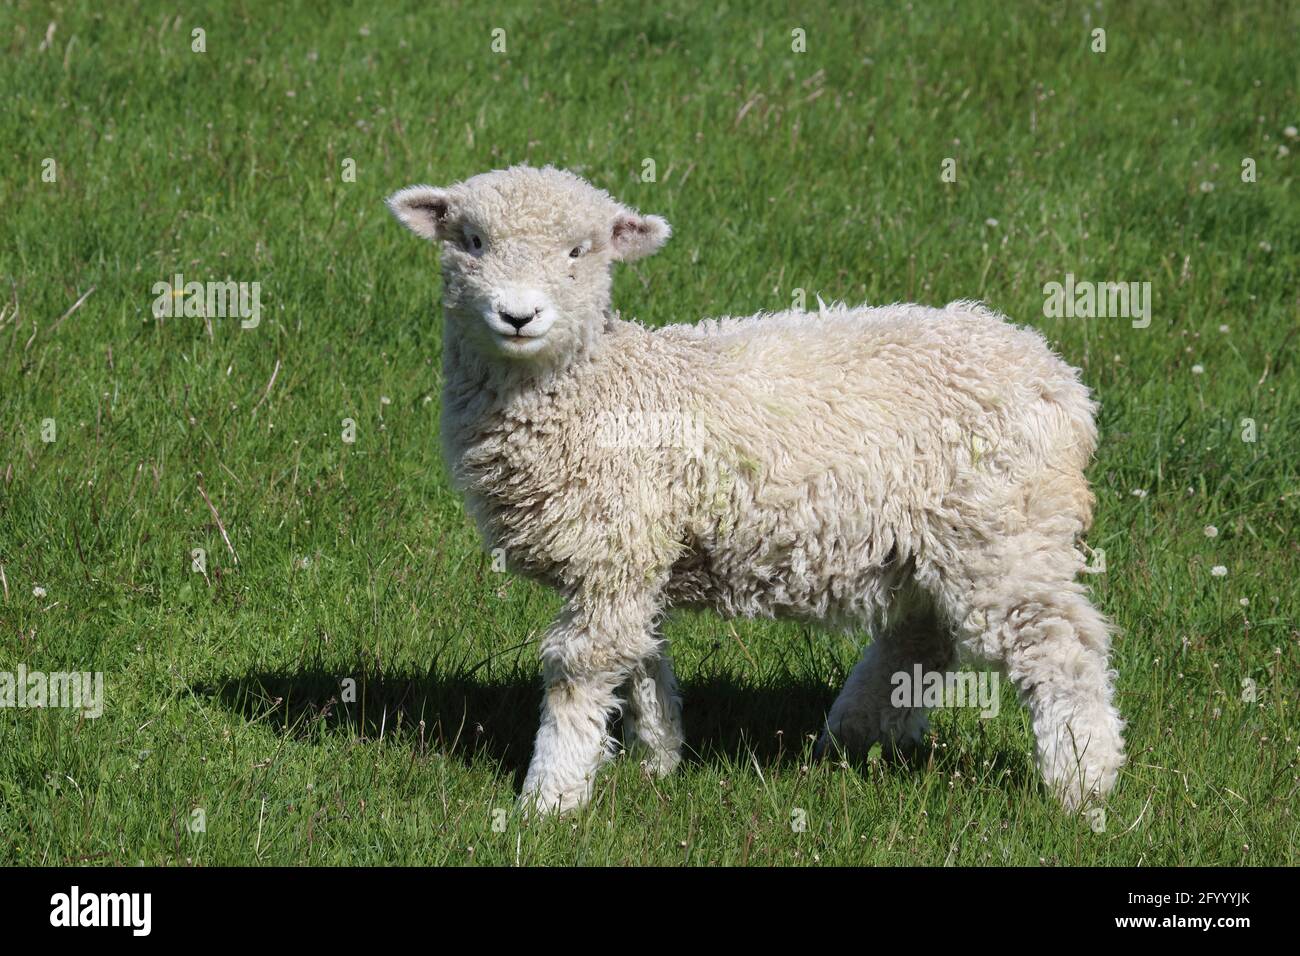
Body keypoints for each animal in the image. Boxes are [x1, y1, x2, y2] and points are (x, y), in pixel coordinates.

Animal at [387, 164, 1126, 815]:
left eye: (580, 251)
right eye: (471, 241)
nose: (518, 315)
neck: (606, 386)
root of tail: (1058, 378)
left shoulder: (615, 549)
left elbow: (582, 668)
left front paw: (550, 796)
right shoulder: (641, 552)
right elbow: (643, 655)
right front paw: (657, 758)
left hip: (1004, 529)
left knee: (1060, 648)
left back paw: (1083, 783)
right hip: (938, 535)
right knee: (922, 637)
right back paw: (847, 740)